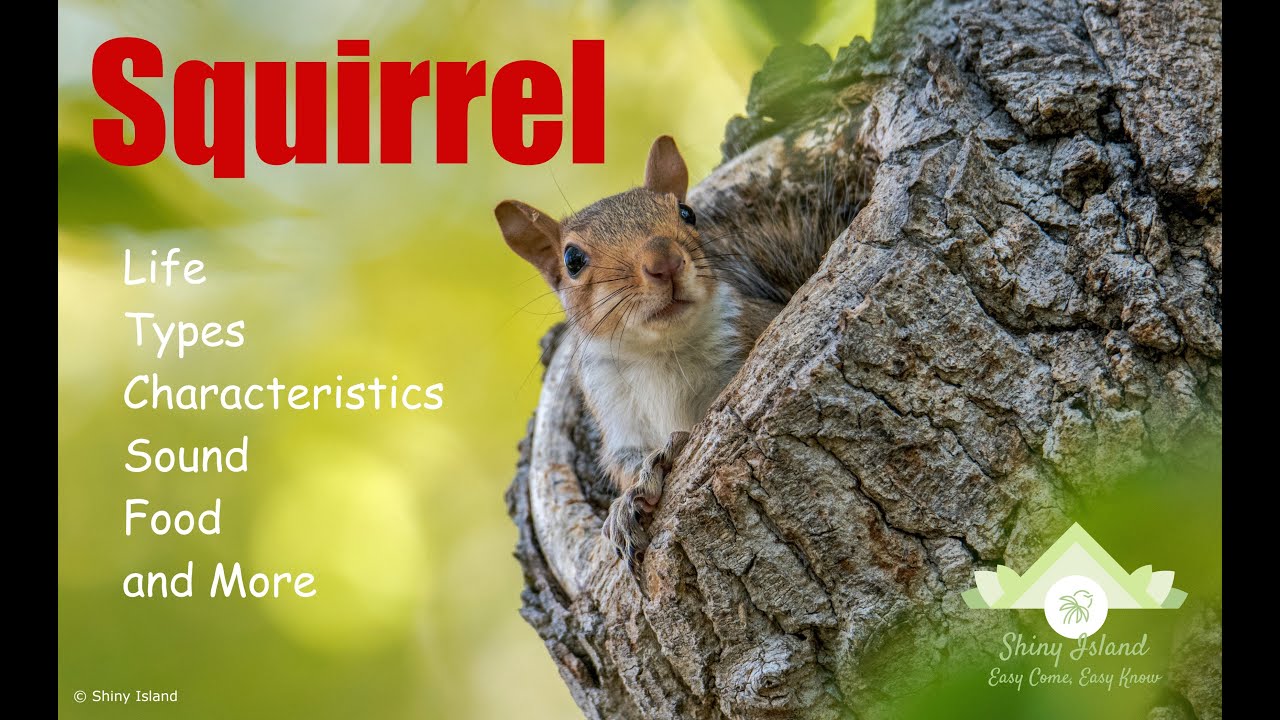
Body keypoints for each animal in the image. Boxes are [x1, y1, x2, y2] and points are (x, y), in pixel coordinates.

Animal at [495, 135, 854, 579]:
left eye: (687, 213)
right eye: (572, 260)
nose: (664, 262)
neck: (661, 352)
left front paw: (671, 449)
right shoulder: (614, 410)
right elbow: (625, 462)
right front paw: (626, 503)